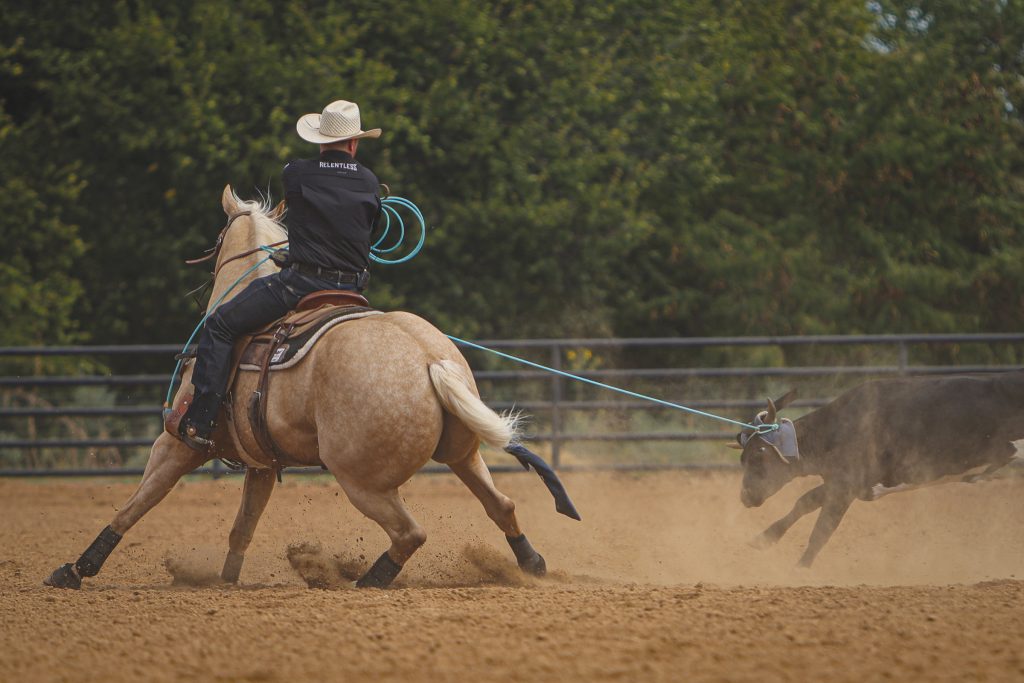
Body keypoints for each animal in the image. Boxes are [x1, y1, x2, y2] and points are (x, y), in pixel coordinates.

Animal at [44, 185, 577, 590]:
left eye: (219, 236)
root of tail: (429, 360)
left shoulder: (176, 444)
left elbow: (136, 504)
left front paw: (75, 569)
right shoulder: (261, 465)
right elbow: (242, 527)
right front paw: (225, 581)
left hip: (361, 479)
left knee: (411, 533)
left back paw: (365, 580)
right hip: (462, 456)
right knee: (501, 505)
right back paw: (531, 565)